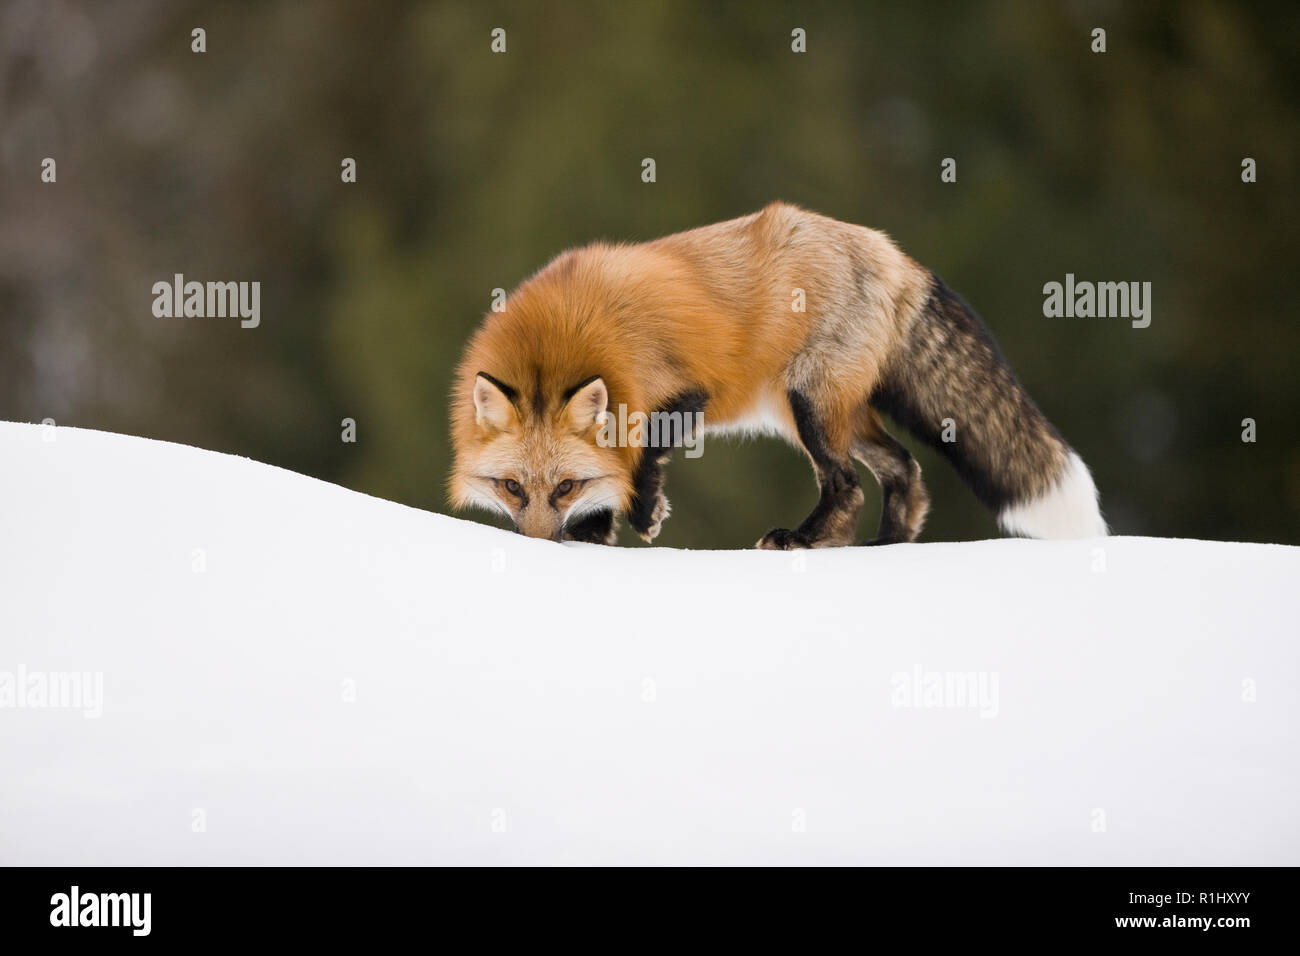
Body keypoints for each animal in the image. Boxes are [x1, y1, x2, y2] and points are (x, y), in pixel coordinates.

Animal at [449, 202, 1106, 547]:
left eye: (565, 486)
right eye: (512, 488)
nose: (539, 549)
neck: (563, 336)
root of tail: (889, 250)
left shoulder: (685, 391)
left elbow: (639, 462)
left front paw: (638, 515)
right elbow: (617, 469)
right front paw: (595, 535)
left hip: (808, 405)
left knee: (848, 484)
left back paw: (805, 540)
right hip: (819, 413)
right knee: (906, 470)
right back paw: (885, 550)